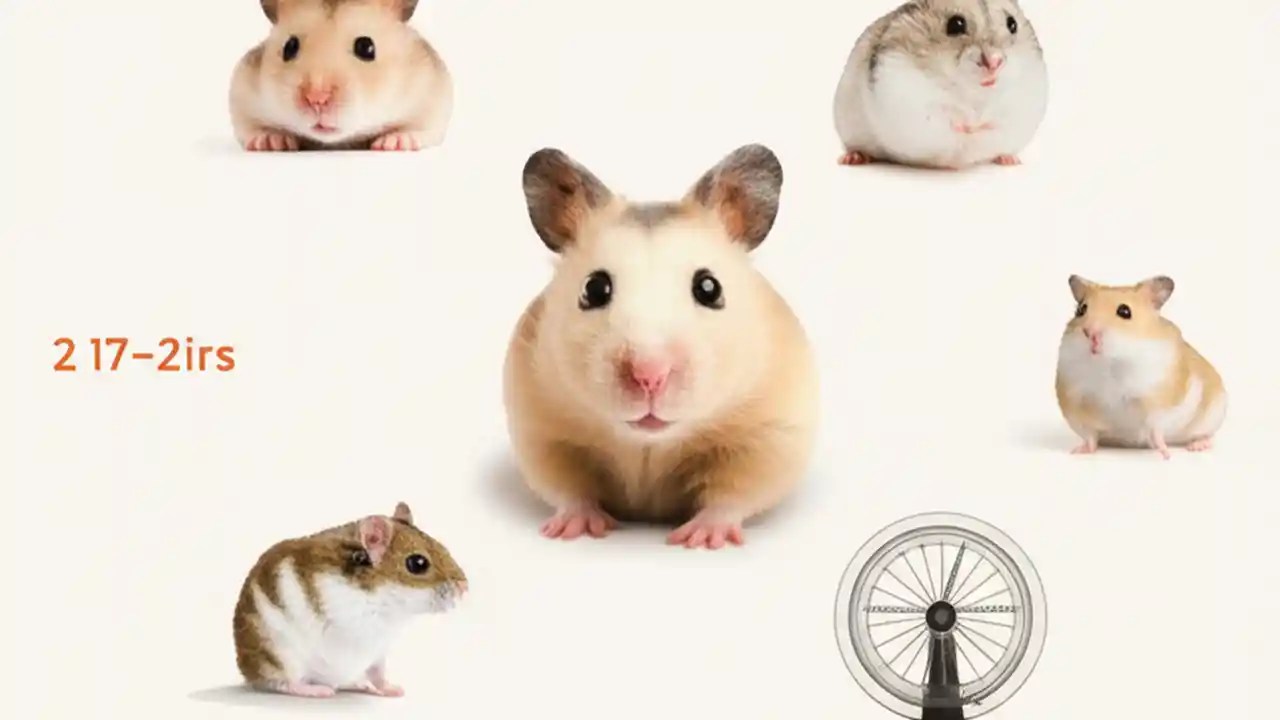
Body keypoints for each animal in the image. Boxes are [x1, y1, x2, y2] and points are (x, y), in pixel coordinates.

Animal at [229, 0, 453, 151]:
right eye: (289, 47)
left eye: (366, 47)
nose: (316, 99)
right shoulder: (242, 92)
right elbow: (251, 126)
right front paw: (271, 141)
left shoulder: (432, 92)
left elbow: (421, 127)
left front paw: (393, 142)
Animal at [232, 502, 467, 698]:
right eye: (418, 563)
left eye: (443, 548)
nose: (466, 588)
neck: (389, 606)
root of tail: (247, 672)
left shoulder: (379, 650)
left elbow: (378, 674)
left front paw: (396, 691)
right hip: (281, 655)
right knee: (285, 683)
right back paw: (319, 691)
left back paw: (360, 685)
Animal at [504, 144, 820, 550]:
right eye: (594, 288)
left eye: (709, 288)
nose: (649, 376)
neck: (648, 445)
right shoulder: (541, 427)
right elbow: (568, 487)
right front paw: (577, 529)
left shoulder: (770, 432)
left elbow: (735, 493)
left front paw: (700, 538)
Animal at [832, 0, 1047, 169]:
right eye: (956, 24)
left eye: (1012, 24)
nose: (994, 63)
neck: (974, 94)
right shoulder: (905, 96)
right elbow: (944, 119)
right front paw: (968, 127)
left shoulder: (1022, 101)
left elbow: (1000, 121)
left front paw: (981, 127)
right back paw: (853, 158)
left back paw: (1009, 160)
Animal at [1055, 276, 1227, 459]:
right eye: (1081, 310)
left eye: (1124, 311)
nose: (1090, 333)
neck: (1108, 364)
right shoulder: (1077, 407)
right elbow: (1089, 436)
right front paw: (1076, 452)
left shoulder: (1159, 405)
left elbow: (1156, 431)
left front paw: (1166, 455)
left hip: (1214, 413)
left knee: (1205, 434)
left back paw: (1197, 446)